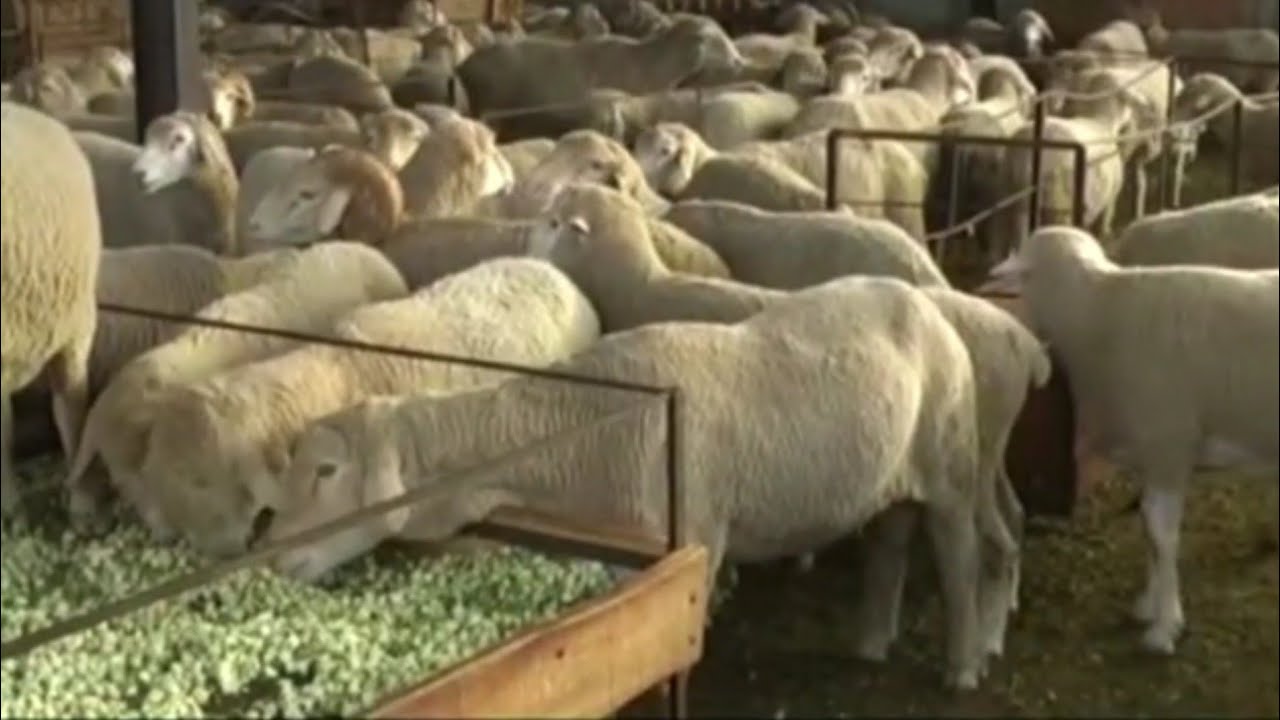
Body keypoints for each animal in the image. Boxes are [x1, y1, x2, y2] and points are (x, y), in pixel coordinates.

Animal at [265, 273, 988, 689]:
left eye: (327, 471)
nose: (273, 558)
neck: (577, 429)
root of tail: (921, 297)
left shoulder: (694, 546)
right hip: (893, 472)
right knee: (891, 544)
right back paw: (870, 645)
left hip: (954, 462)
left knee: (960, 560)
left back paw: (964, 666)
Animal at [983, 225, 1278, 655]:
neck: (1099, 310)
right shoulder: (1147, 453)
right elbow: (1148, 530)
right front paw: (1149, 604)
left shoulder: (1168, 443)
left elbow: (1162, 532)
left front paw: (1165, 626)